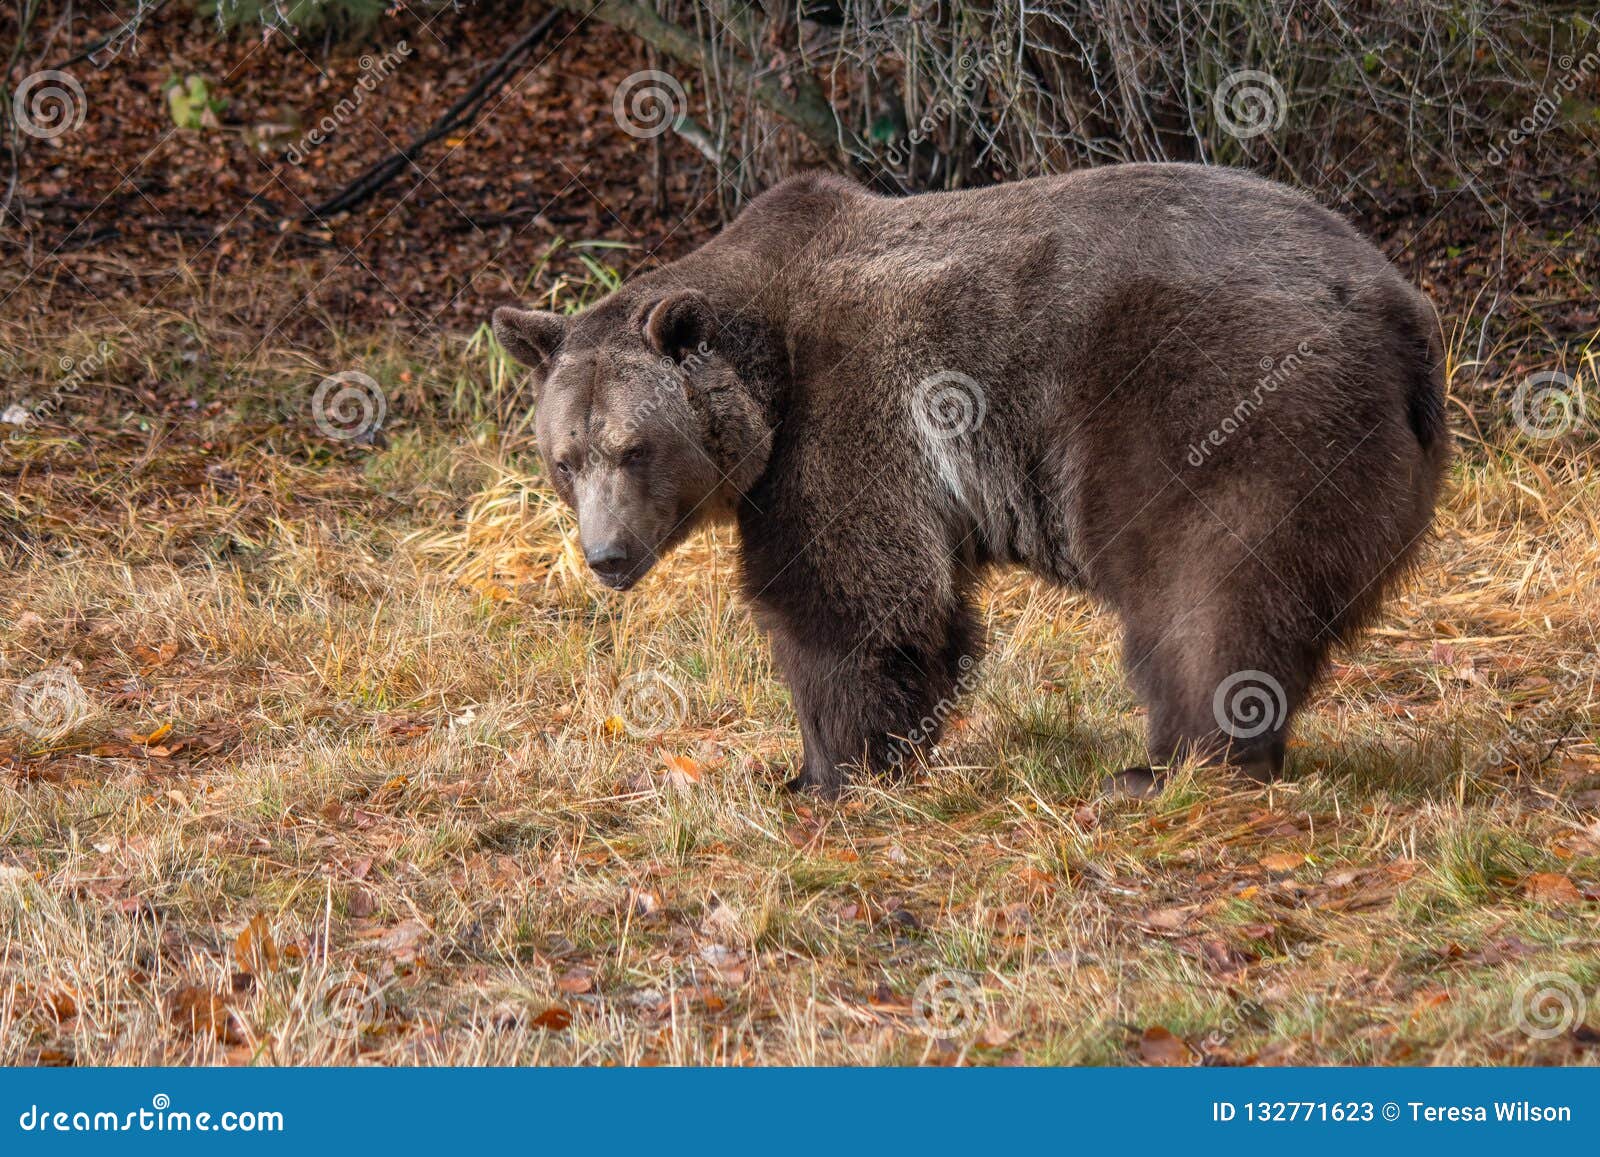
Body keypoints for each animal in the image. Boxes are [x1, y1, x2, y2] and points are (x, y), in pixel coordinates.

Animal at [491, 163, 1450, 798]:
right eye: (564, 457)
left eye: (634, 448)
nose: (608, 556)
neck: (771, 376)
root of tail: (1402, 307)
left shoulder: (849, 420)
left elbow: (844, 595)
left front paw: (824, 771)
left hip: (1225, 402)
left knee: (1206, 584)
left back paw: (1174, 762)